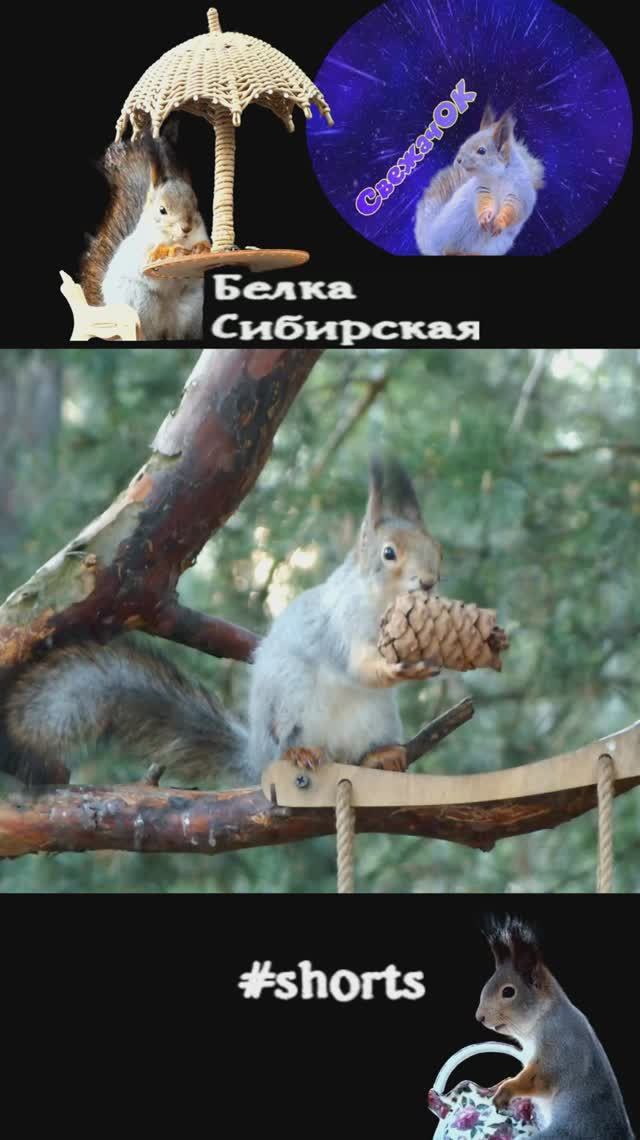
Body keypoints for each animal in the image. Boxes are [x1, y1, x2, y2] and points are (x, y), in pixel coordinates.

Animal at [0, 460, 443, 789]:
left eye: (436, 548)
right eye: (389, 553)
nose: (429, 581)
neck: (379, 601)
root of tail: (256, 758)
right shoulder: (338, 625)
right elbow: (354, 663)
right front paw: (394, 666)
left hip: (378, 718)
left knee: (363, 750)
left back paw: (383, 753)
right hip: (290, 707)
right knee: (292, 745)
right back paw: (299, 753)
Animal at [81, 126, 210, 340]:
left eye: (196, 206)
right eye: (162, 210)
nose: (186, 228)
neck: (178, 239)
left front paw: (200, 249)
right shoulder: (142, 250)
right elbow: (150, 259)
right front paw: (171, 252)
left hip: (189, 310)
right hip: (138, 305)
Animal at [414, 105, 544, 256]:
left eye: (481, 151)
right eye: (466, 142)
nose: (458, 160)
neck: (497, 176)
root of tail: (431, 237)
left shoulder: (519, 192)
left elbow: (513, 209)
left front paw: (499, 222)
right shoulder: (482, 188)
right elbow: (483, 202)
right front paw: (484, 217)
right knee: (448, 248)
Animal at [476, 916, 634, 1138]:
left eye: (508, 992)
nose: (480, 1017)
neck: (543, 1018)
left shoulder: (560, 1046)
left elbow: (540, 1078)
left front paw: (507, 1089)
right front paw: (499, 1084)